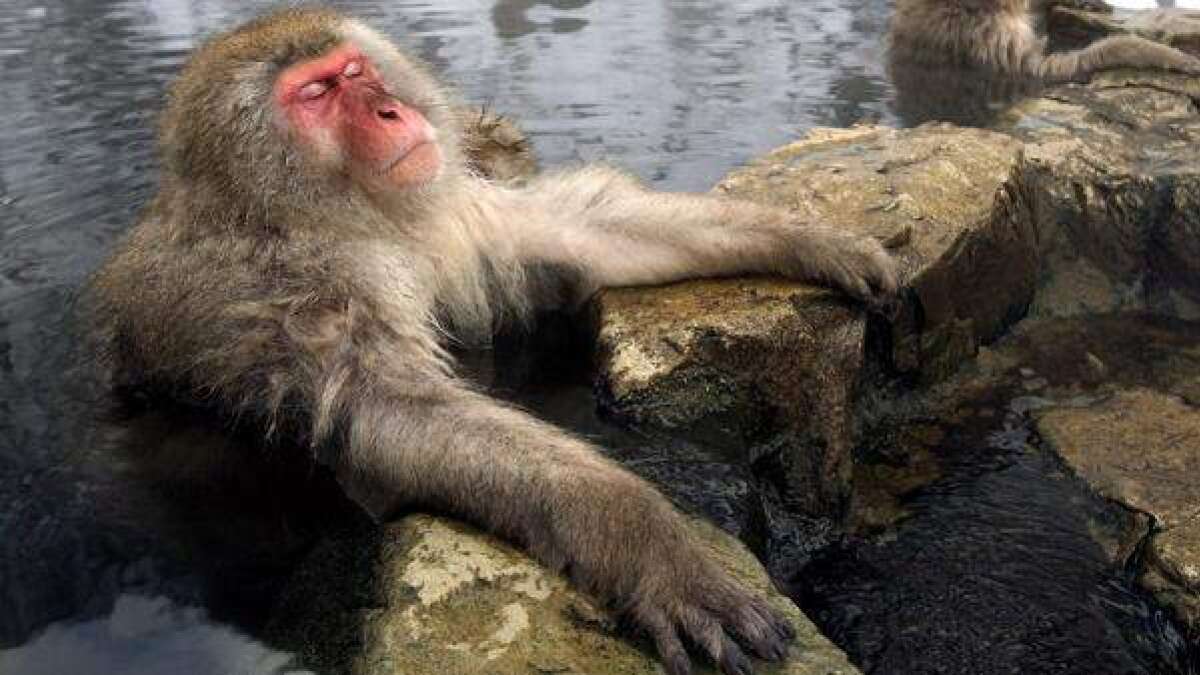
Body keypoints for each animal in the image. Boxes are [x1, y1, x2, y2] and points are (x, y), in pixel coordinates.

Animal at [83, 9, 898, 674]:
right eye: (314, 96)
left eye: (354, 72)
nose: (390, 108)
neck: (331, 219)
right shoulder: (292, 299)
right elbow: (391, 416)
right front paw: (647, 542)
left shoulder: (450, 208)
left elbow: (583, 231)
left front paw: (811, 241)